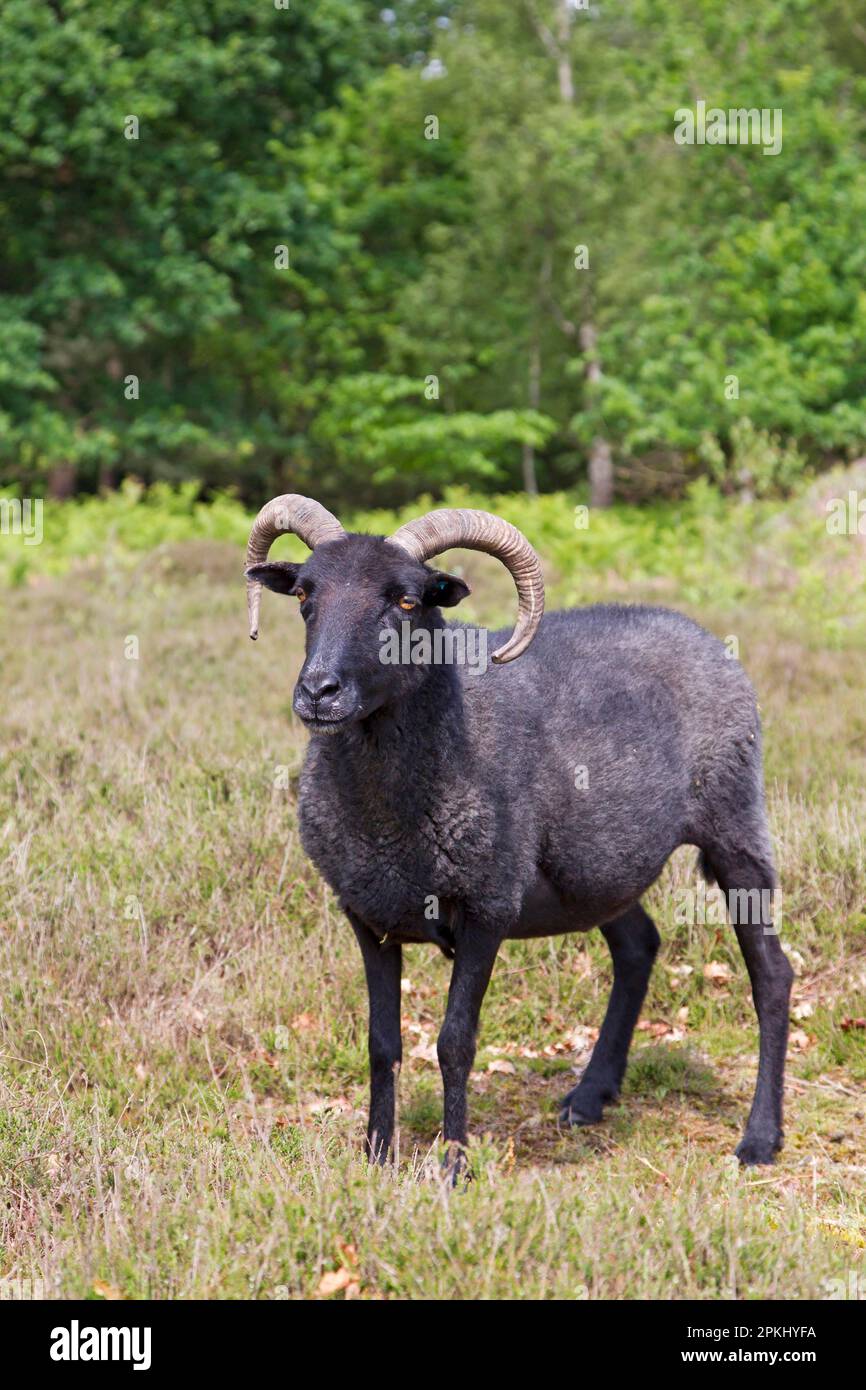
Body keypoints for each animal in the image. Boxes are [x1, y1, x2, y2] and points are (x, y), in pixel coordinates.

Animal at [245, 495, 793, 1170]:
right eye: (303, 593)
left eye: (407, 600)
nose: (319, 692)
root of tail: (700, 633)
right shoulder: (368, 916)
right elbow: (381, 1043)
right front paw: (375, 1157)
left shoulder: (488, 907)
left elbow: (454, 1043)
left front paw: (454, 1163)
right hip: (595, 869)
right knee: (638, 946)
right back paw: (590, 1096)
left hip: (735, 826)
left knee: (771, 975)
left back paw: (760, 1138)